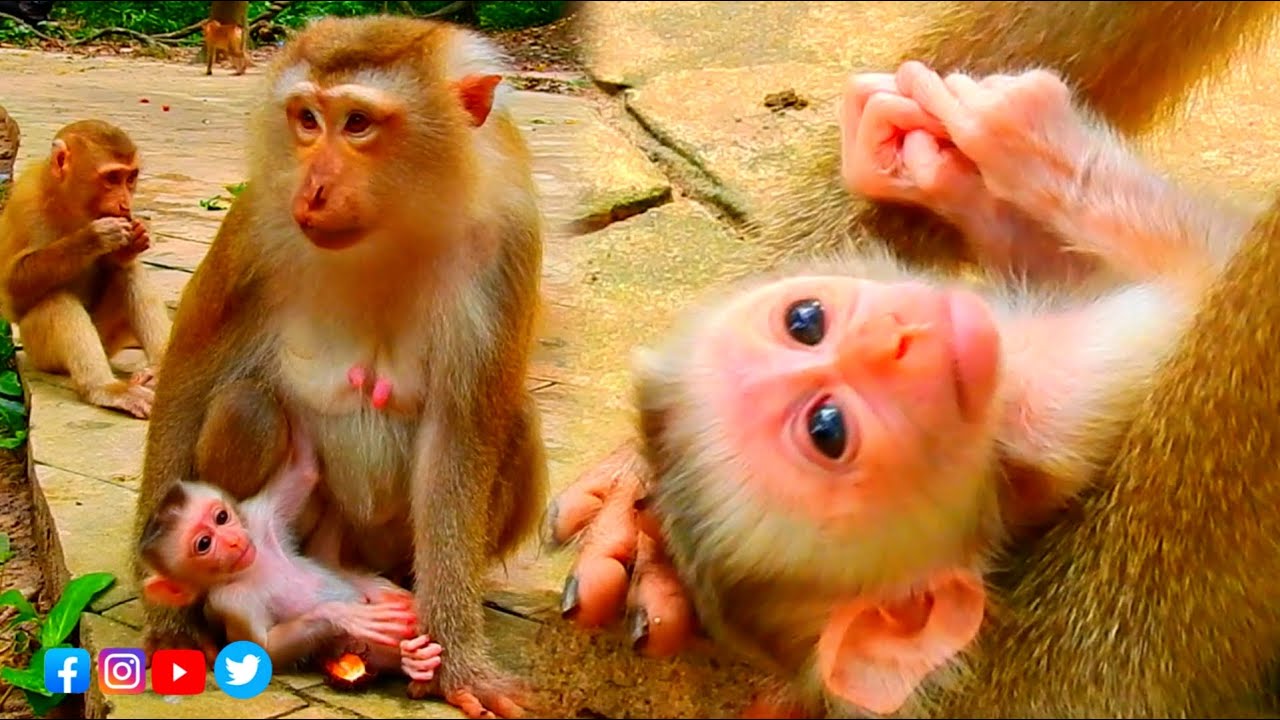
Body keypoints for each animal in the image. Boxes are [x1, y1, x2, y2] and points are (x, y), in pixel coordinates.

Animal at [0, 119, 171, 419]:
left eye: (130, 178)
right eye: (112, 178)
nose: (125, 204)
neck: (69, 204)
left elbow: (121, 265)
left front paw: (131, 244)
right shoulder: (24, 202)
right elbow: (11, 290)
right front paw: (93, 238)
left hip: (109, 337)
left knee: (128, 274)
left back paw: (160, 370)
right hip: (39, 353)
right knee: (56, 300)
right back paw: (105, 388)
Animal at [138, 426, 443, 683]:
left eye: (221, 517)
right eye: (204, 543)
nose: (234, 542)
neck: (255, 565)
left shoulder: (260, 519)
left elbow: (304, 468)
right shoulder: (231, 601)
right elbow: (265, 651)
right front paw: (340, 614)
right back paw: (413, 660)